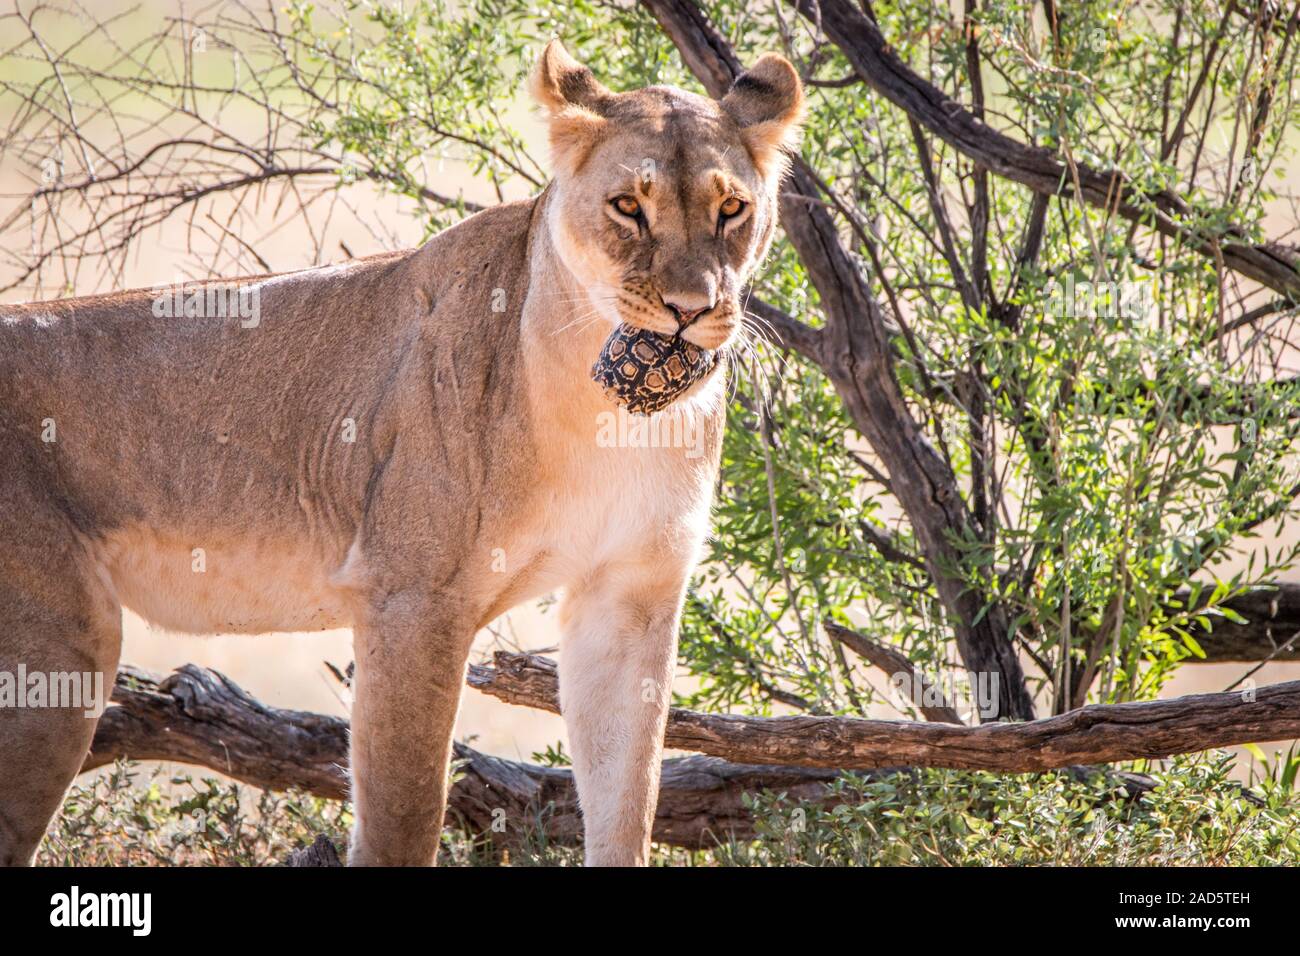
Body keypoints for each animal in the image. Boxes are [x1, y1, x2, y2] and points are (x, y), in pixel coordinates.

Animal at [0, 40, 803, 866]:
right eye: (627, 206)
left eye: (731, 210)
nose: (689, 311)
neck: (606, 416)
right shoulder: (411, 602)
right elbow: (406, 813)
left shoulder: (631, 595)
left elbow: (628, 803)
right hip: (60, 647)